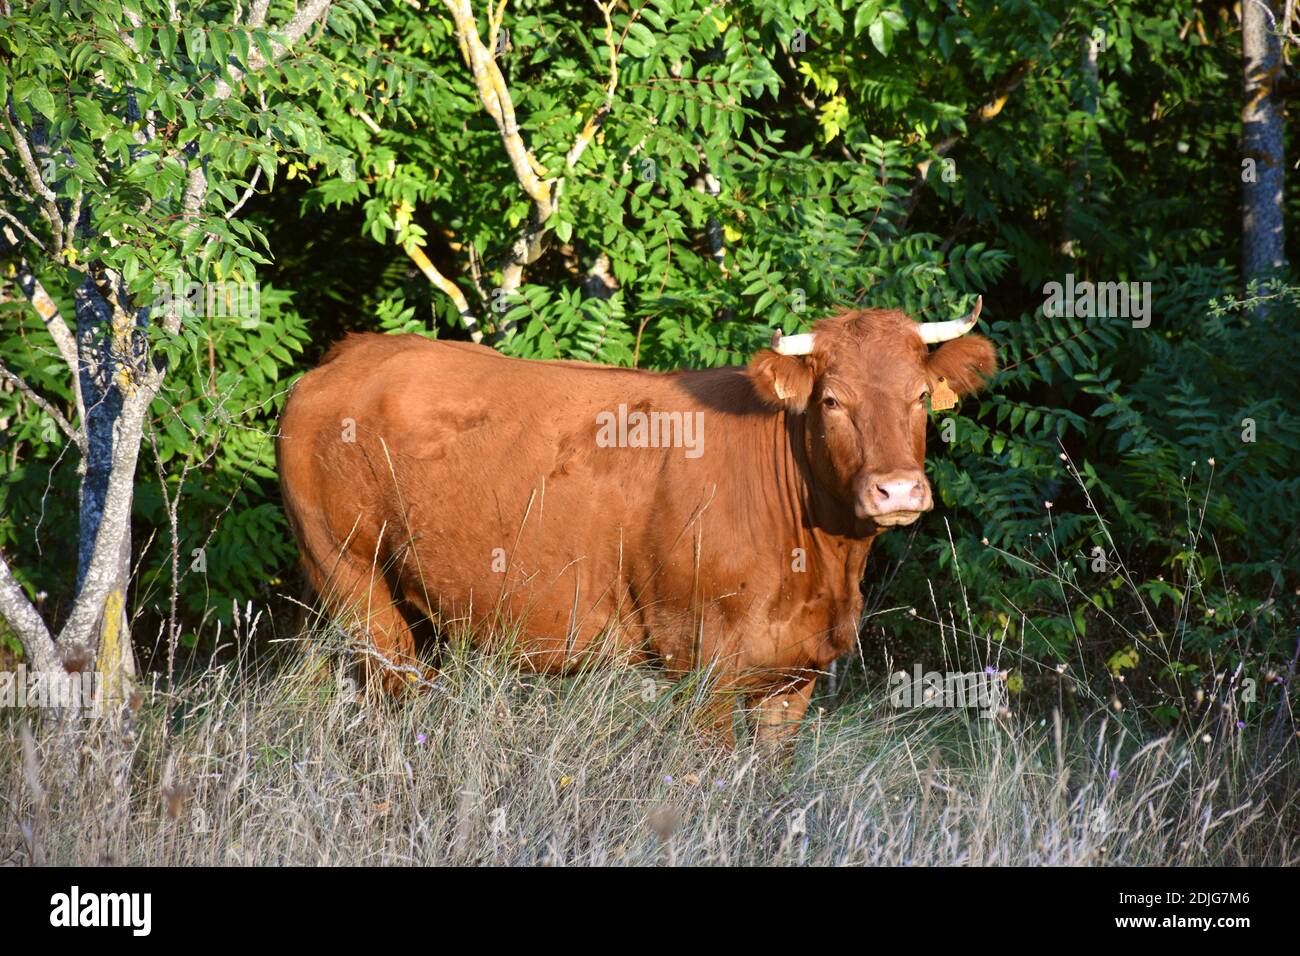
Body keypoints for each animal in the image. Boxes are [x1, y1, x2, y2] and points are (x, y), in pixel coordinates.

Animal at [276, 300, 996, 745]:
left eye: (921, 397)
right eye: (832, 401)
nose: (896, 488)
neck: (820, 562)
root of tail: (351, 354)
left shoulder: (795, 674)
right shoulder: (701, 661)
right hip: (354, 584)